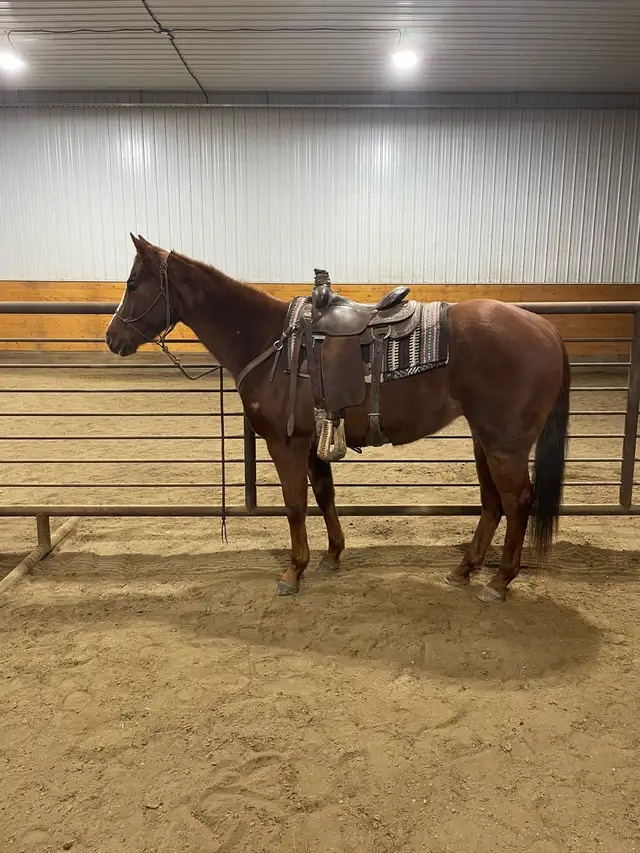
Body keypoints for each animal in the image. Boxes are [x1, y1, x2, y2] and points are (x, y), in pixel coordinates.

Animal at [106, 234, 570, 603]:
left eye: (132, 283)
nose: (112, 338)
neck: (272, 341)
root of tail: (546, 329)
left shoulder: (285, 444)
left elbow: (295, 505)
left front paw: (293, 572)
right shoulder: (312, 442)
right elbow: (325, 496)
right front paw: (331, 556)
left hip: (505, 445)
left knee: (517, 501)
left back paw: (499, 581)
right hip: (484, 439)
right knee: (492, 502)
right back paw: (463, 570)